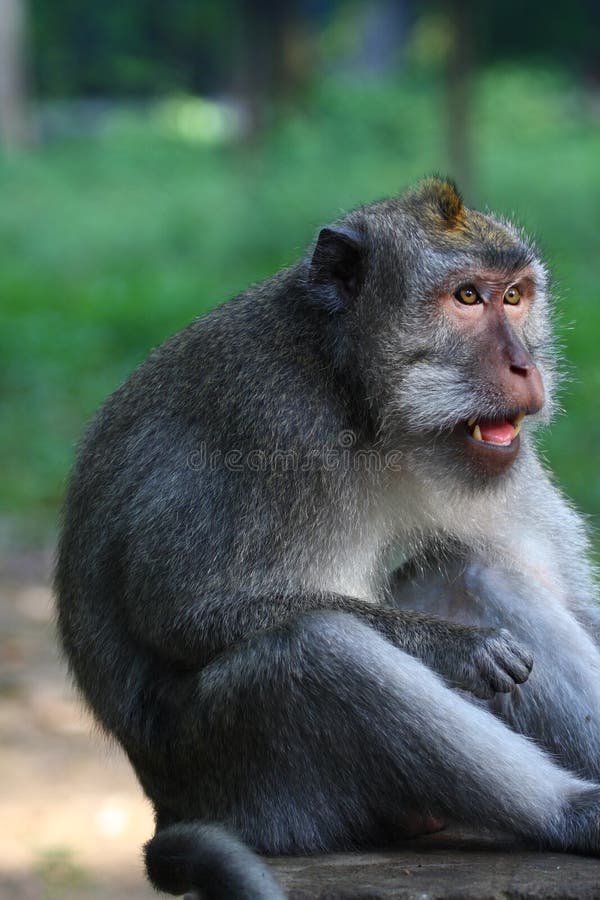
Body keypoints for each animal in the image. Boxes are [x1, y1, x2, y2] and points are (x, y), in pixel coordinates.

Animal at [54, 177, 600, 900]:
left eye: (514, 296)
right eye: (466, 297)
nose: (523, 364)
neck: (362, 401)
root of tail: (163, 805)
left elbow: (569, 597)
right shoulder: (270, 422)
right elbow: (179, 610)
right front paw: (456, 647)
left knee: (473, 572)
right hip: (257, 781)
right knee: (318, 648)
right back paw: (571, 812)